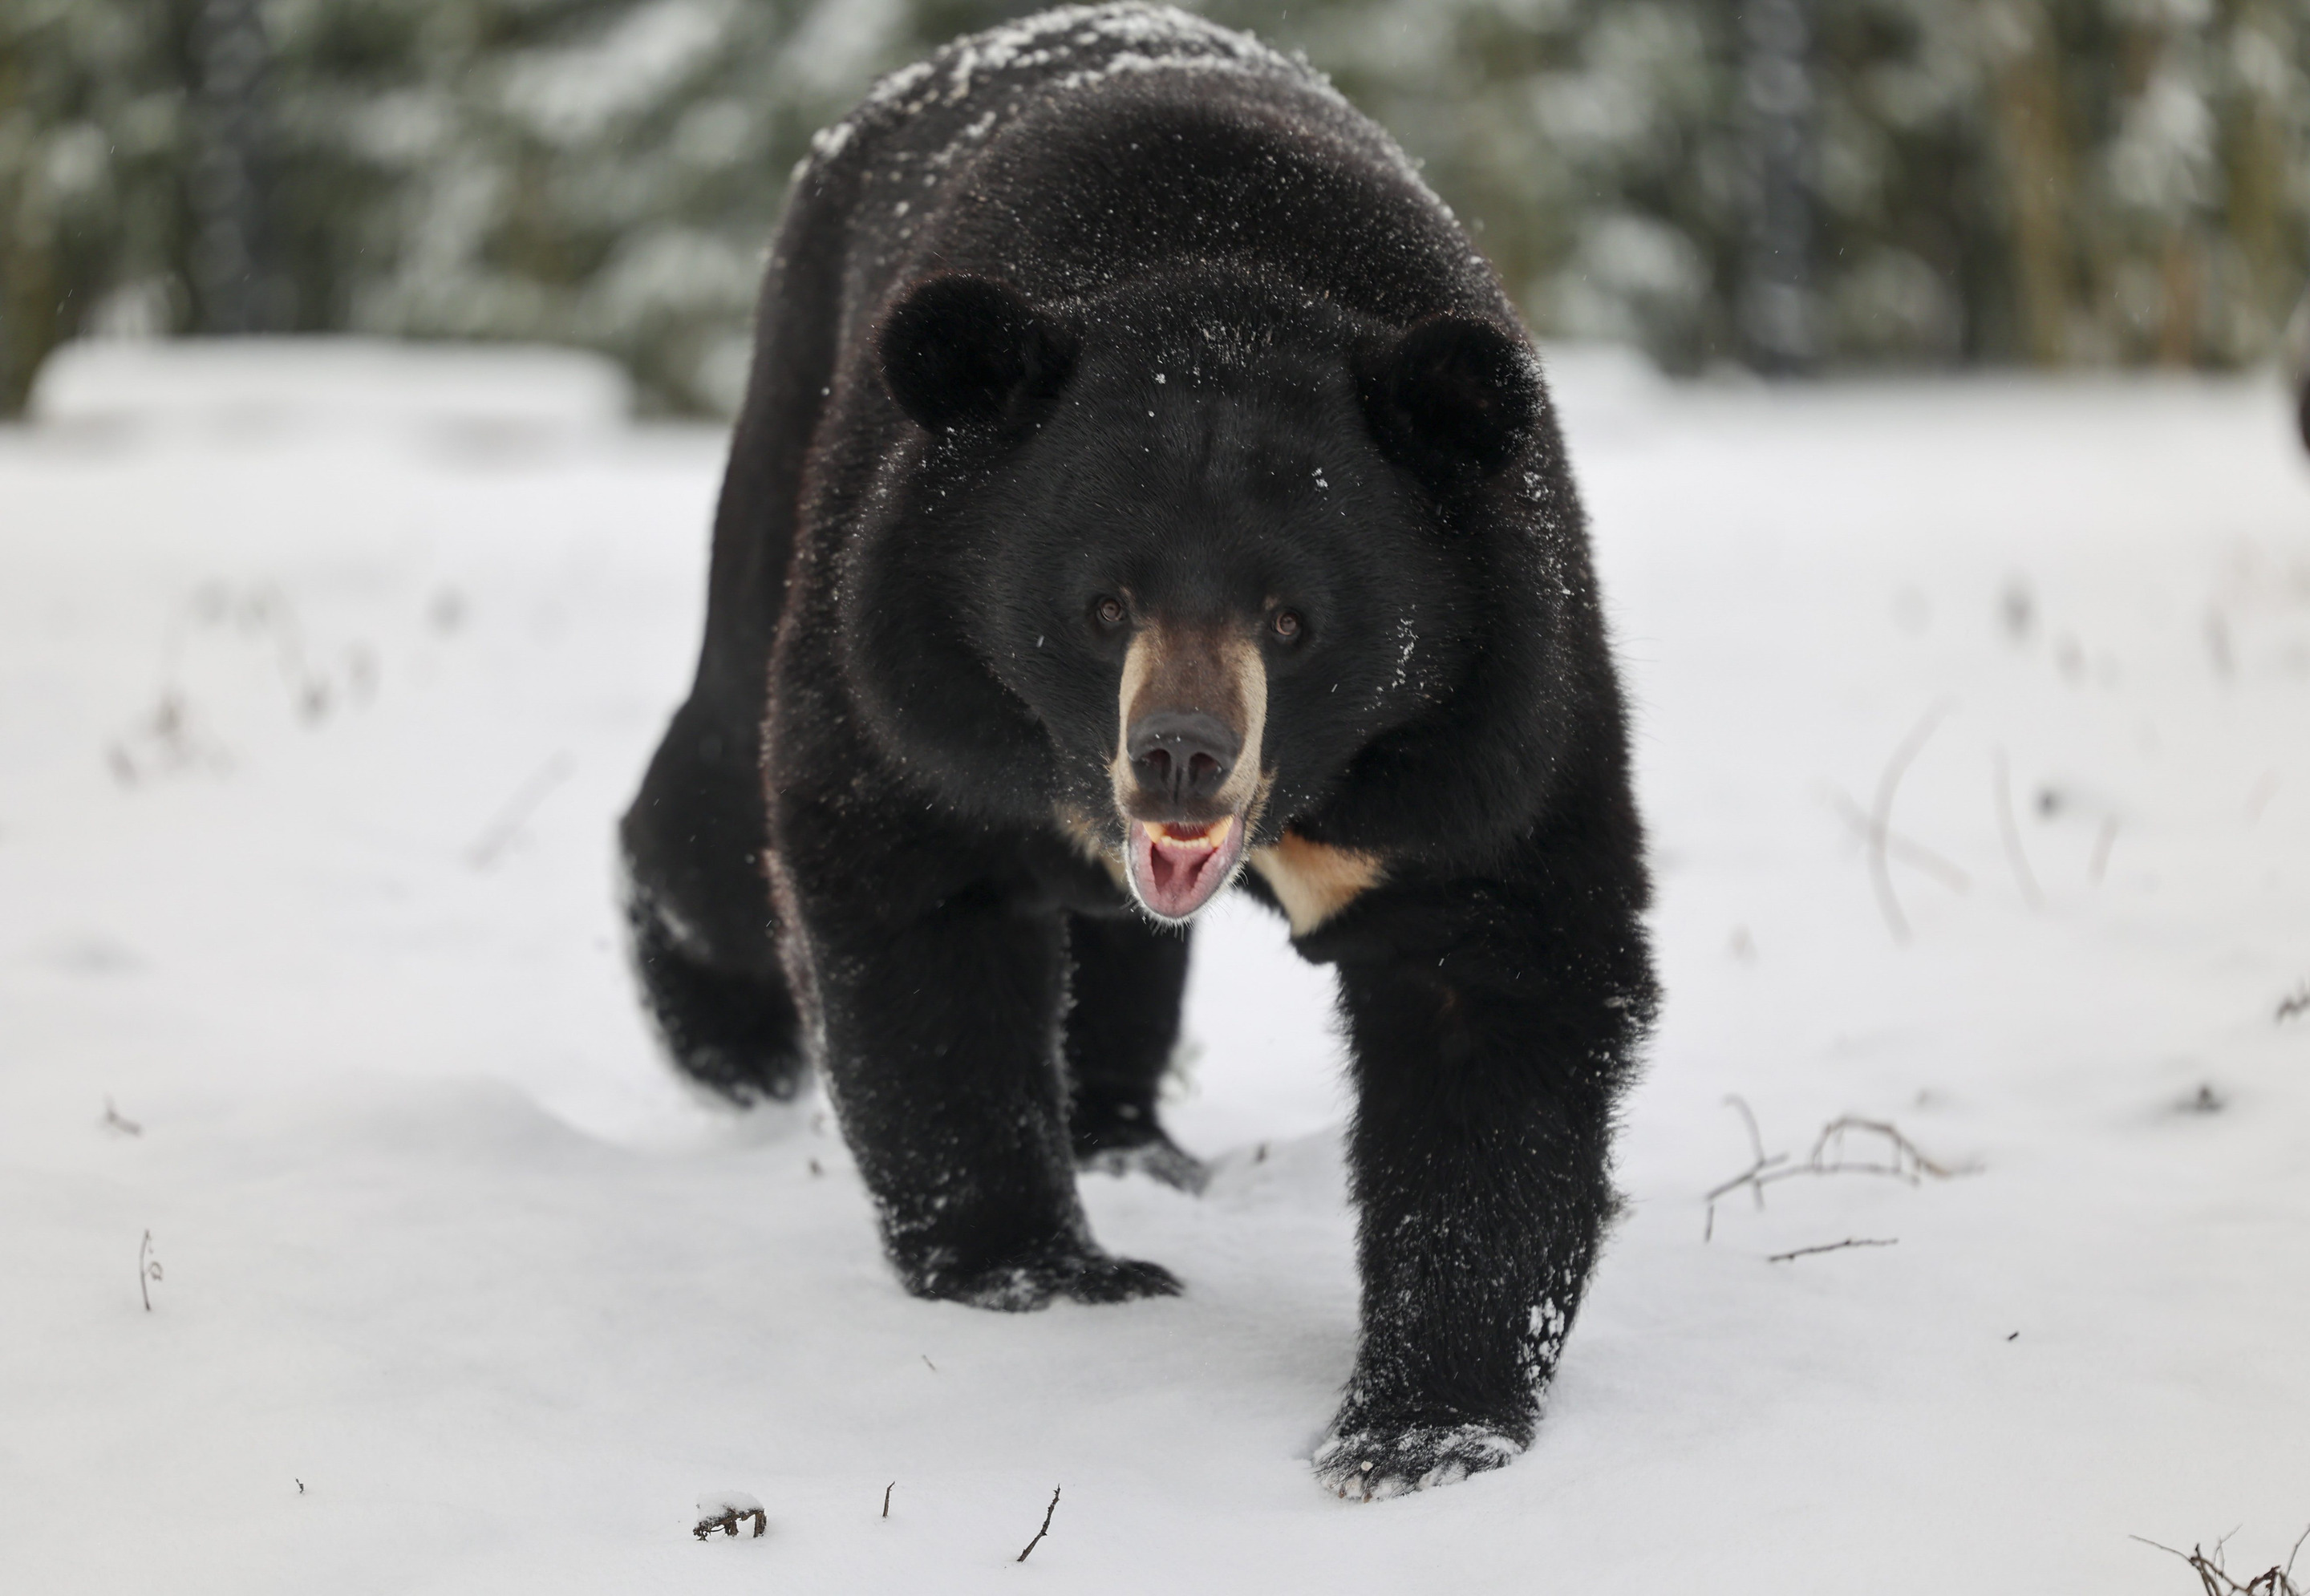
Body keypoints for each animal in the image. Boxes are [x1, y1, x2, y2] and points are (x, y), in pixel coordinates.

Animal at [619, 2, 1656, 1499]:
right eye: (1101, 606)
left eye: (1293, 619)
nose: (1179, 756)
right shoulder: (906, 654)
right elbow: (909, 908)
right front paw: (1042, 1278)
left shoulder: (1492, 718)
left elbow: (1501, 989)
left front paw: (1418, 1429)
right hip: (786, 436)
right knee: (713, 823)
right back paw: (730, 1044)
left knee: (1110, 945)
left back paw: (1126, 1139)